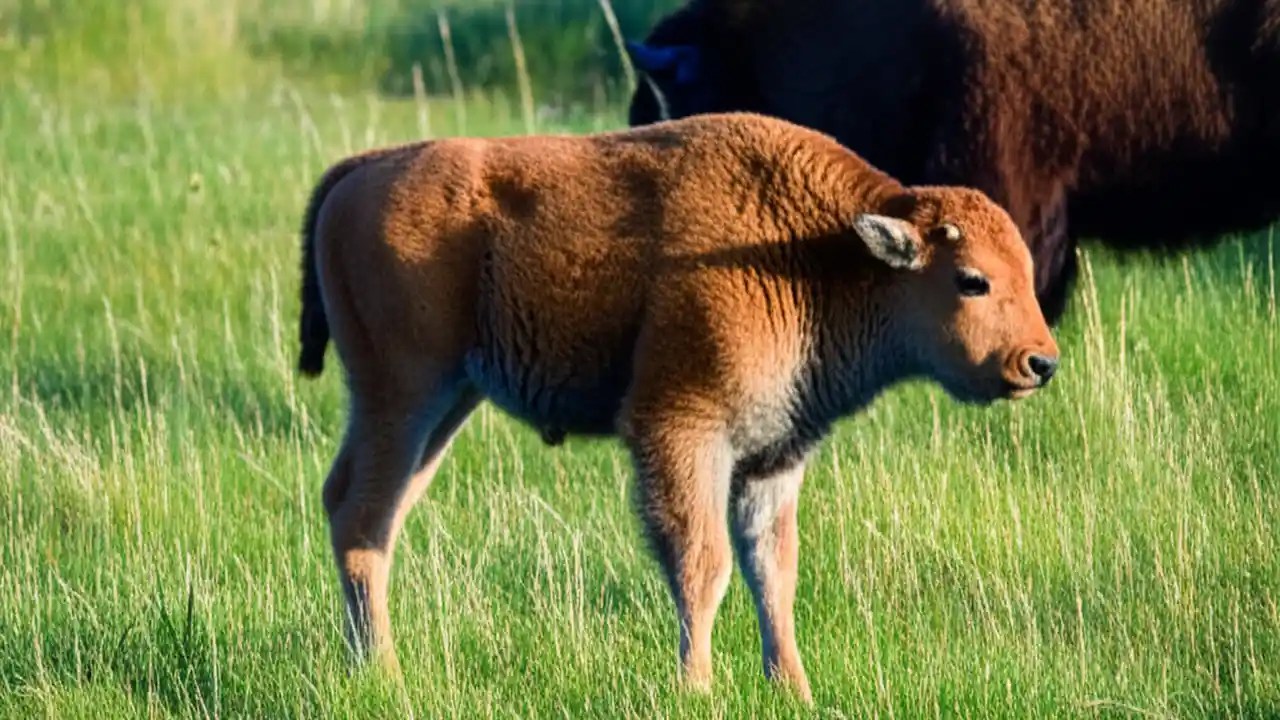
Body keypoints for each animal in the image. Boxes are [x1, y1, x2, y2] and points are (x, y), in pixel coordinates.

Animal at [296, 112, 1060, 701]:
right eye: (971, 280)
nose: (1040, 362)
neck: (818, 253)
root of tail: (360, 169)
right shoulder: (683, 431)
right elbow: (704, 563)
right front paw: (697, 688)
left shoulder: (773, 456)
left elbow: (773, 571)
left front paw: (795, 691)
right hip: (404, 394)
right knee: (362, 514)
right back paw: (383, 672)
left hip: (448, 402)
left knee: (369, 511)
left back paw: (368, 663)